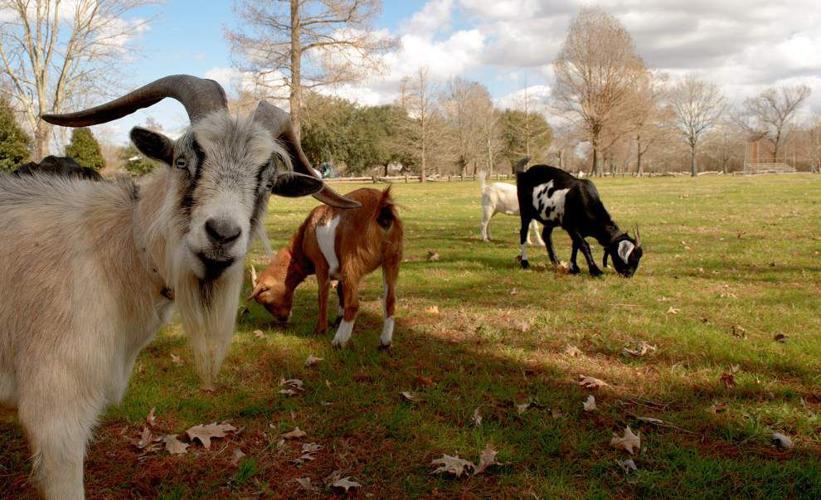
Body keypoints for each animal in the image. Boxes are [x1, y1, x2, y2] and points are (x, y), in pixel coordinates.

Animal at [249, 188, 403, 348]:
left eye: (266, 301)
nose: (283, 319)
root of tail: (382, 208)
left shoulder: (321, 265)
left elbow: (322, 295)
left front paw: (320, 329)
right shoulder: (340, 272)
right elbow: (341, 292)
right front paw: (337, 320)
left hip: (352, 261)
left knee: (353, 304)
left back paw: (339, 342)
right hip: (392, 259)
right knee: (390, 300)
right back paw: (384, 343)